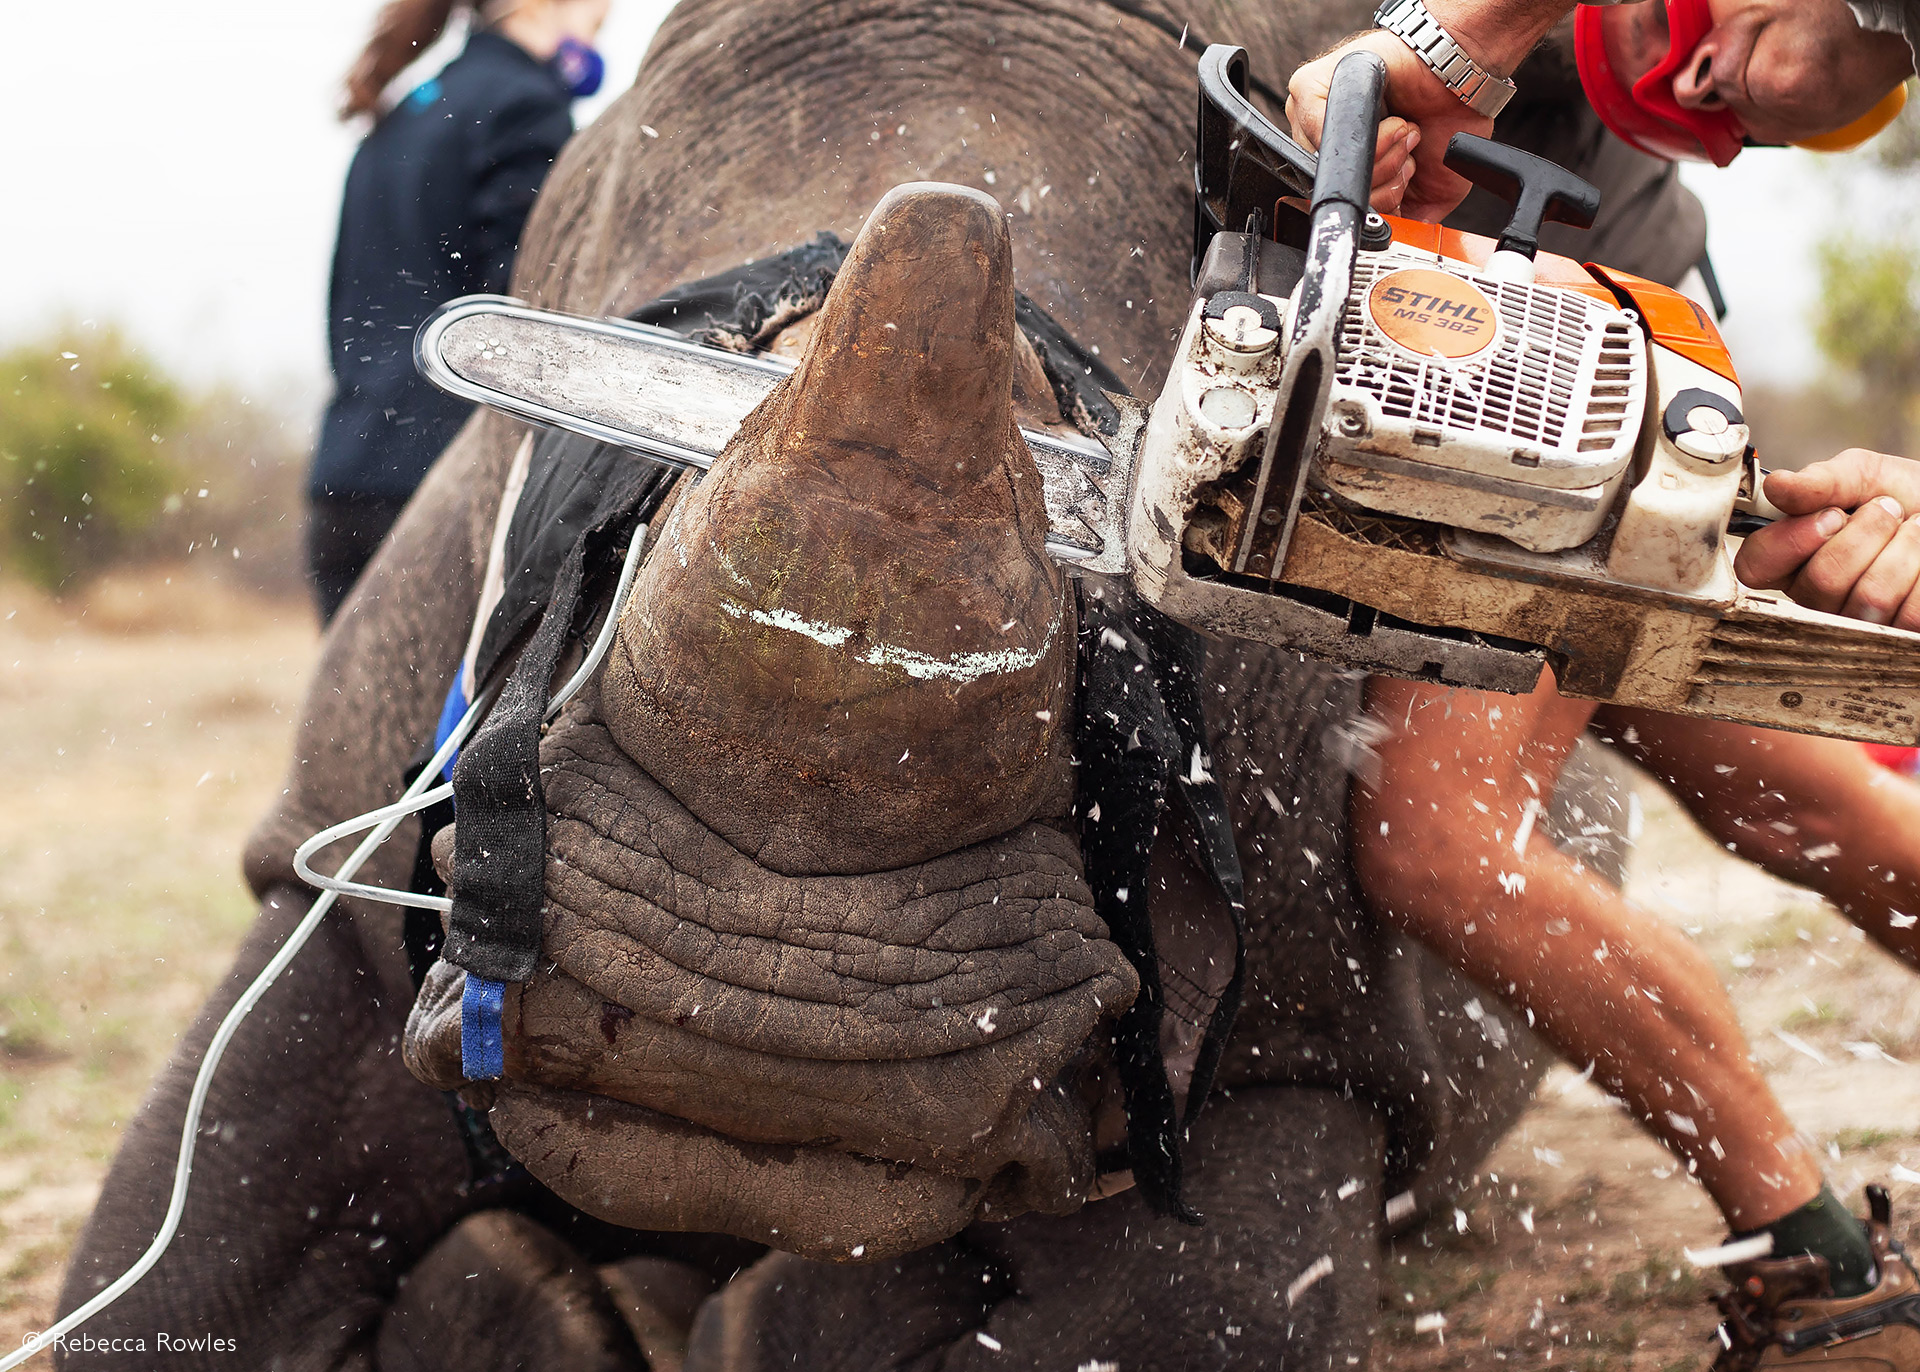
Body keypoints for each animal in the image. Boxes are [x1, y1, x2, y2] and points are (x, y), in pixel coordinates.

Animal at [56, 1, 1701, 1367]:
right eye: (597, 510)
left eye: (1122, 664)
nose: (753, 1021)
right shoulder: (341, 861)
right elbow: (170, 1250)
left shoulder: (1306, 1040)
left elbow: (1203, 1305)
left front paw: (785, 1312)